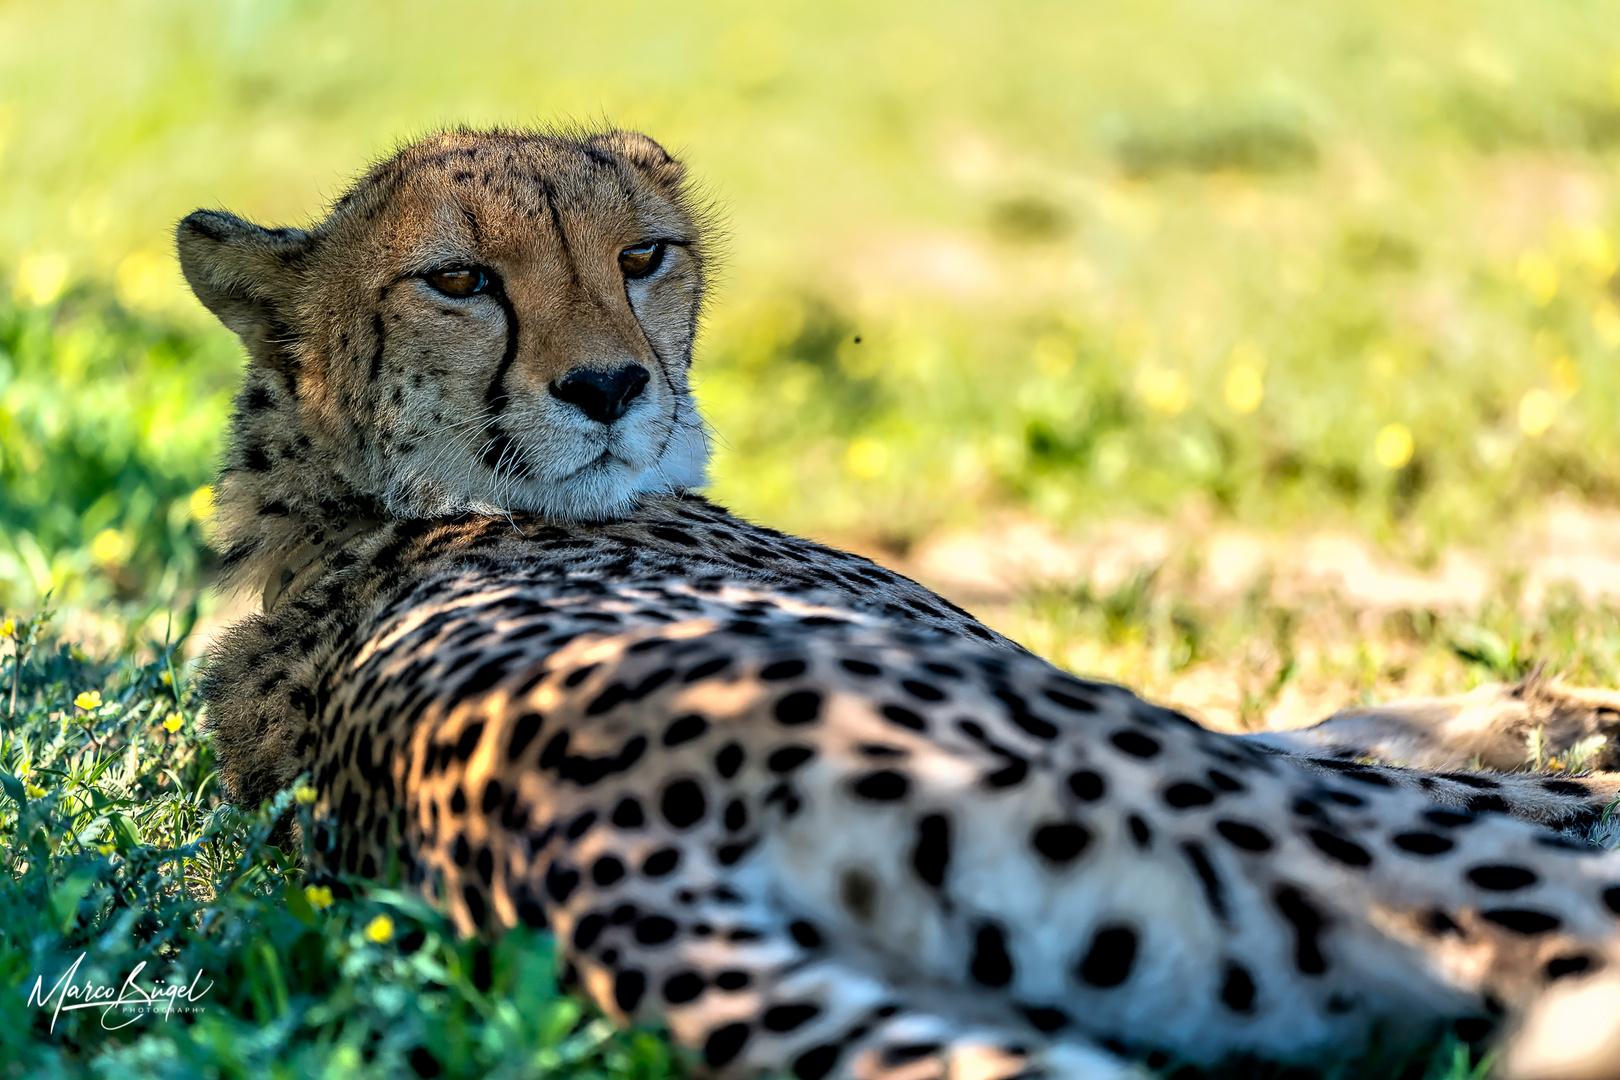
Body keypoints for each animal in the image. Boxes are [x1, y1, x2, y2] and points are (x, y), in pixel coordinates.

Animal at [179, 126, 1620, 1080]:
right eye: (459, 281)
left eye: (643, 256)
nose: (608, 388)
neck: (354, 506)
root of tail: (575, 833)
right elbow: (1369, 740)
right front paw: (1566, 715)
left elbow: (1337, 715)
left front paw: (1540, 703)